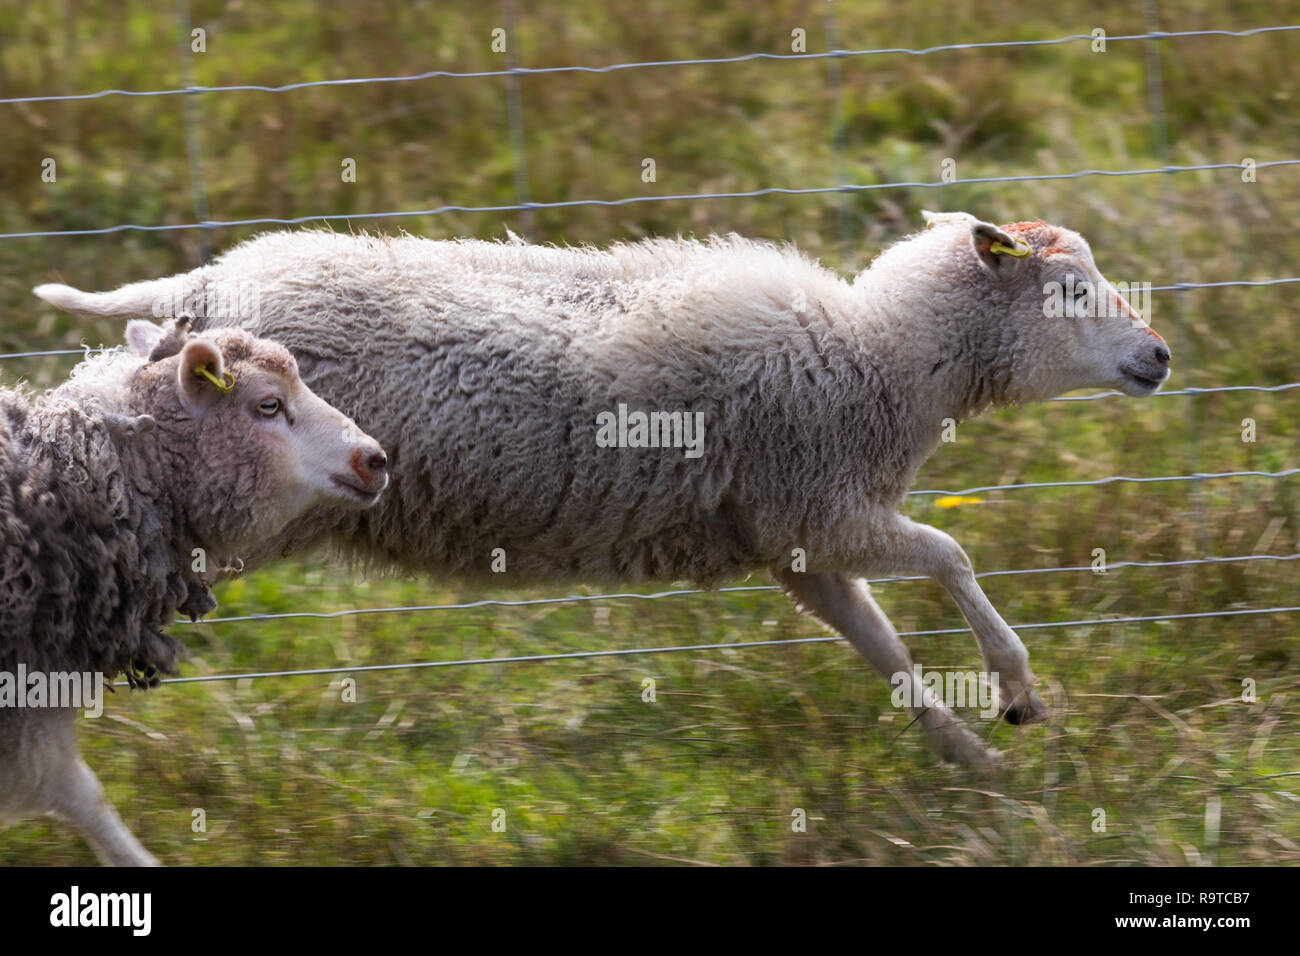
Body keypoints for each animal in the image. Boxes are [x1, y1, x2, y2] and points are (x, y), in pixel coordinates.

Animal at [34, 210, 1172, 769]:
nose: (1160, 354)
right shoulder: (824, 503)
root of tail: (204, 282)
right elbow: (953, 555)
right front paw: (1017, 689)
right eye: (1070, 290)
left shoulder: (798, 540)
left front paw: (966, 753)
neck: (879, 357)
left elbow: (883, 645)